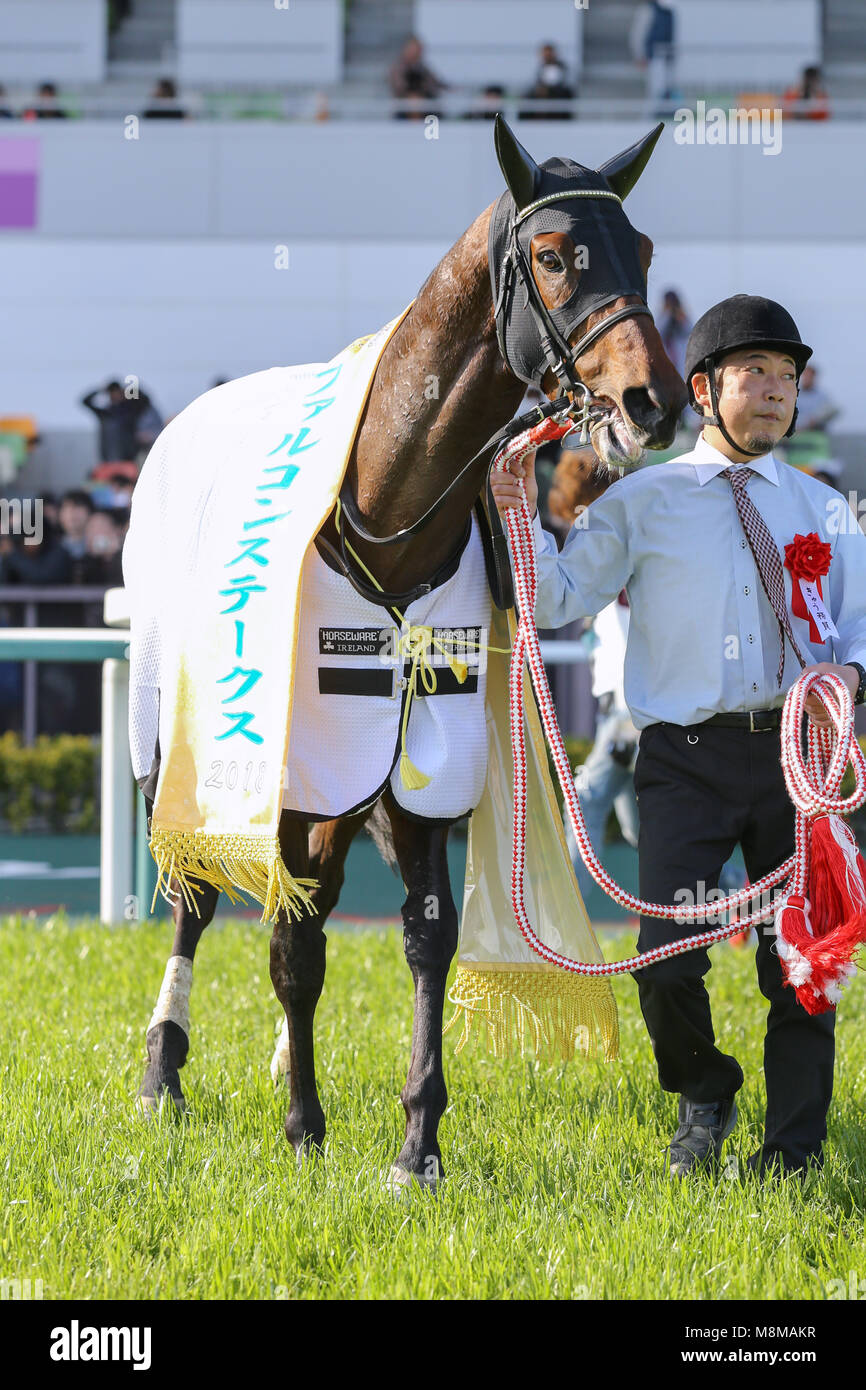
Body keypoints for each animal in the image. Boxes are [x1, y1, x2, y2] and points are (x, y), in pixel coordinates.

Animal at [136, 117, 687, 1190]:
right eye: (552, 255)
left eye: (642, 249)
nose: (653, 401)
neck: (385, 508)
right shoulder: (300, 765)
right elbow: (293, 945)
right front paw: (305, 1125)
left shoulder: (422, 758)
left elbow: (423, 937)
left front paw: (417, 1141)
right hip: (180, 747)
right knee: (196, 896)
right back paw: (162, 1073)